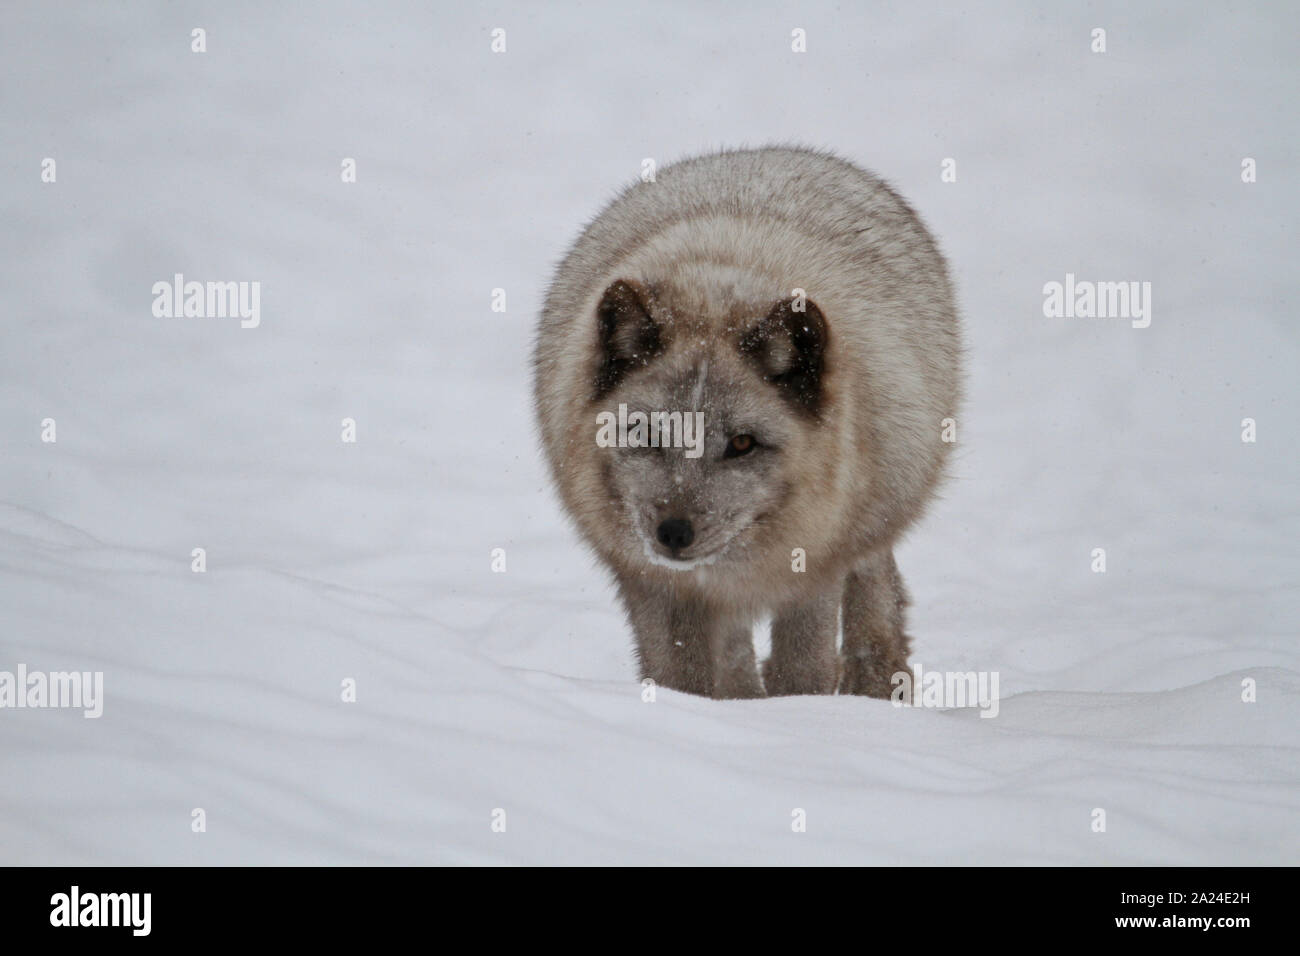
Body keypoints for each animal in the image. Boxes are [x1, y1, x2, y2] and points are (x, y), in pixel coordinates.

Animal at [533, 146, 962, 699]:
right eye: (647, 433)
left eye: (741, 443)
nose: (674, 533)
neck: (720, 286)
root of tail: (773, 151)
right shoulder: (653, 585)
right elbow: (680, 677)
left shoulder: (814, 570)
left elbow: (803, 673)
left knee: (875, 589)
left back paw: (874, 687)